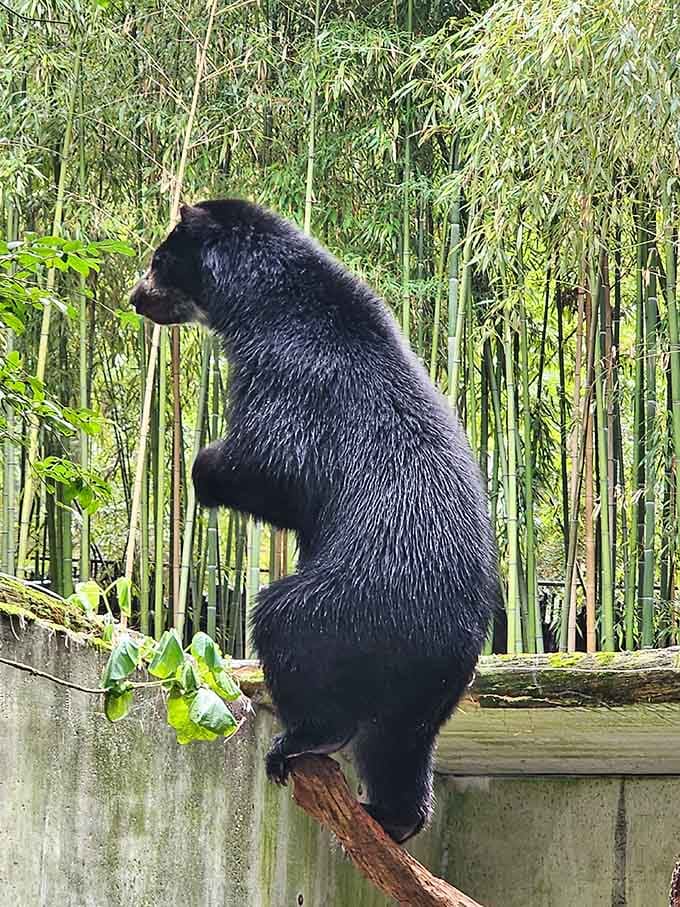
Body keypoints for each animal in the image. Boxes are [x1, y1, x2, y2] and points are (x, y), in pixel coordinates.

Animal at [130, 199, 499, 843]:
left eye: (157, 259)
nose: (134, 296)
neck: (263, 303)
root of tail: (453, 633)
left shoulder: (290, 371)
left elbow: (271, 461)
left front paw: (203, 465)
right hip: (428, 690)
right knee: (399, 746)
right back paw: (395, 817)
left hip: (346, 606)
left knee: (288, 628)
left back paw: (303, 739)